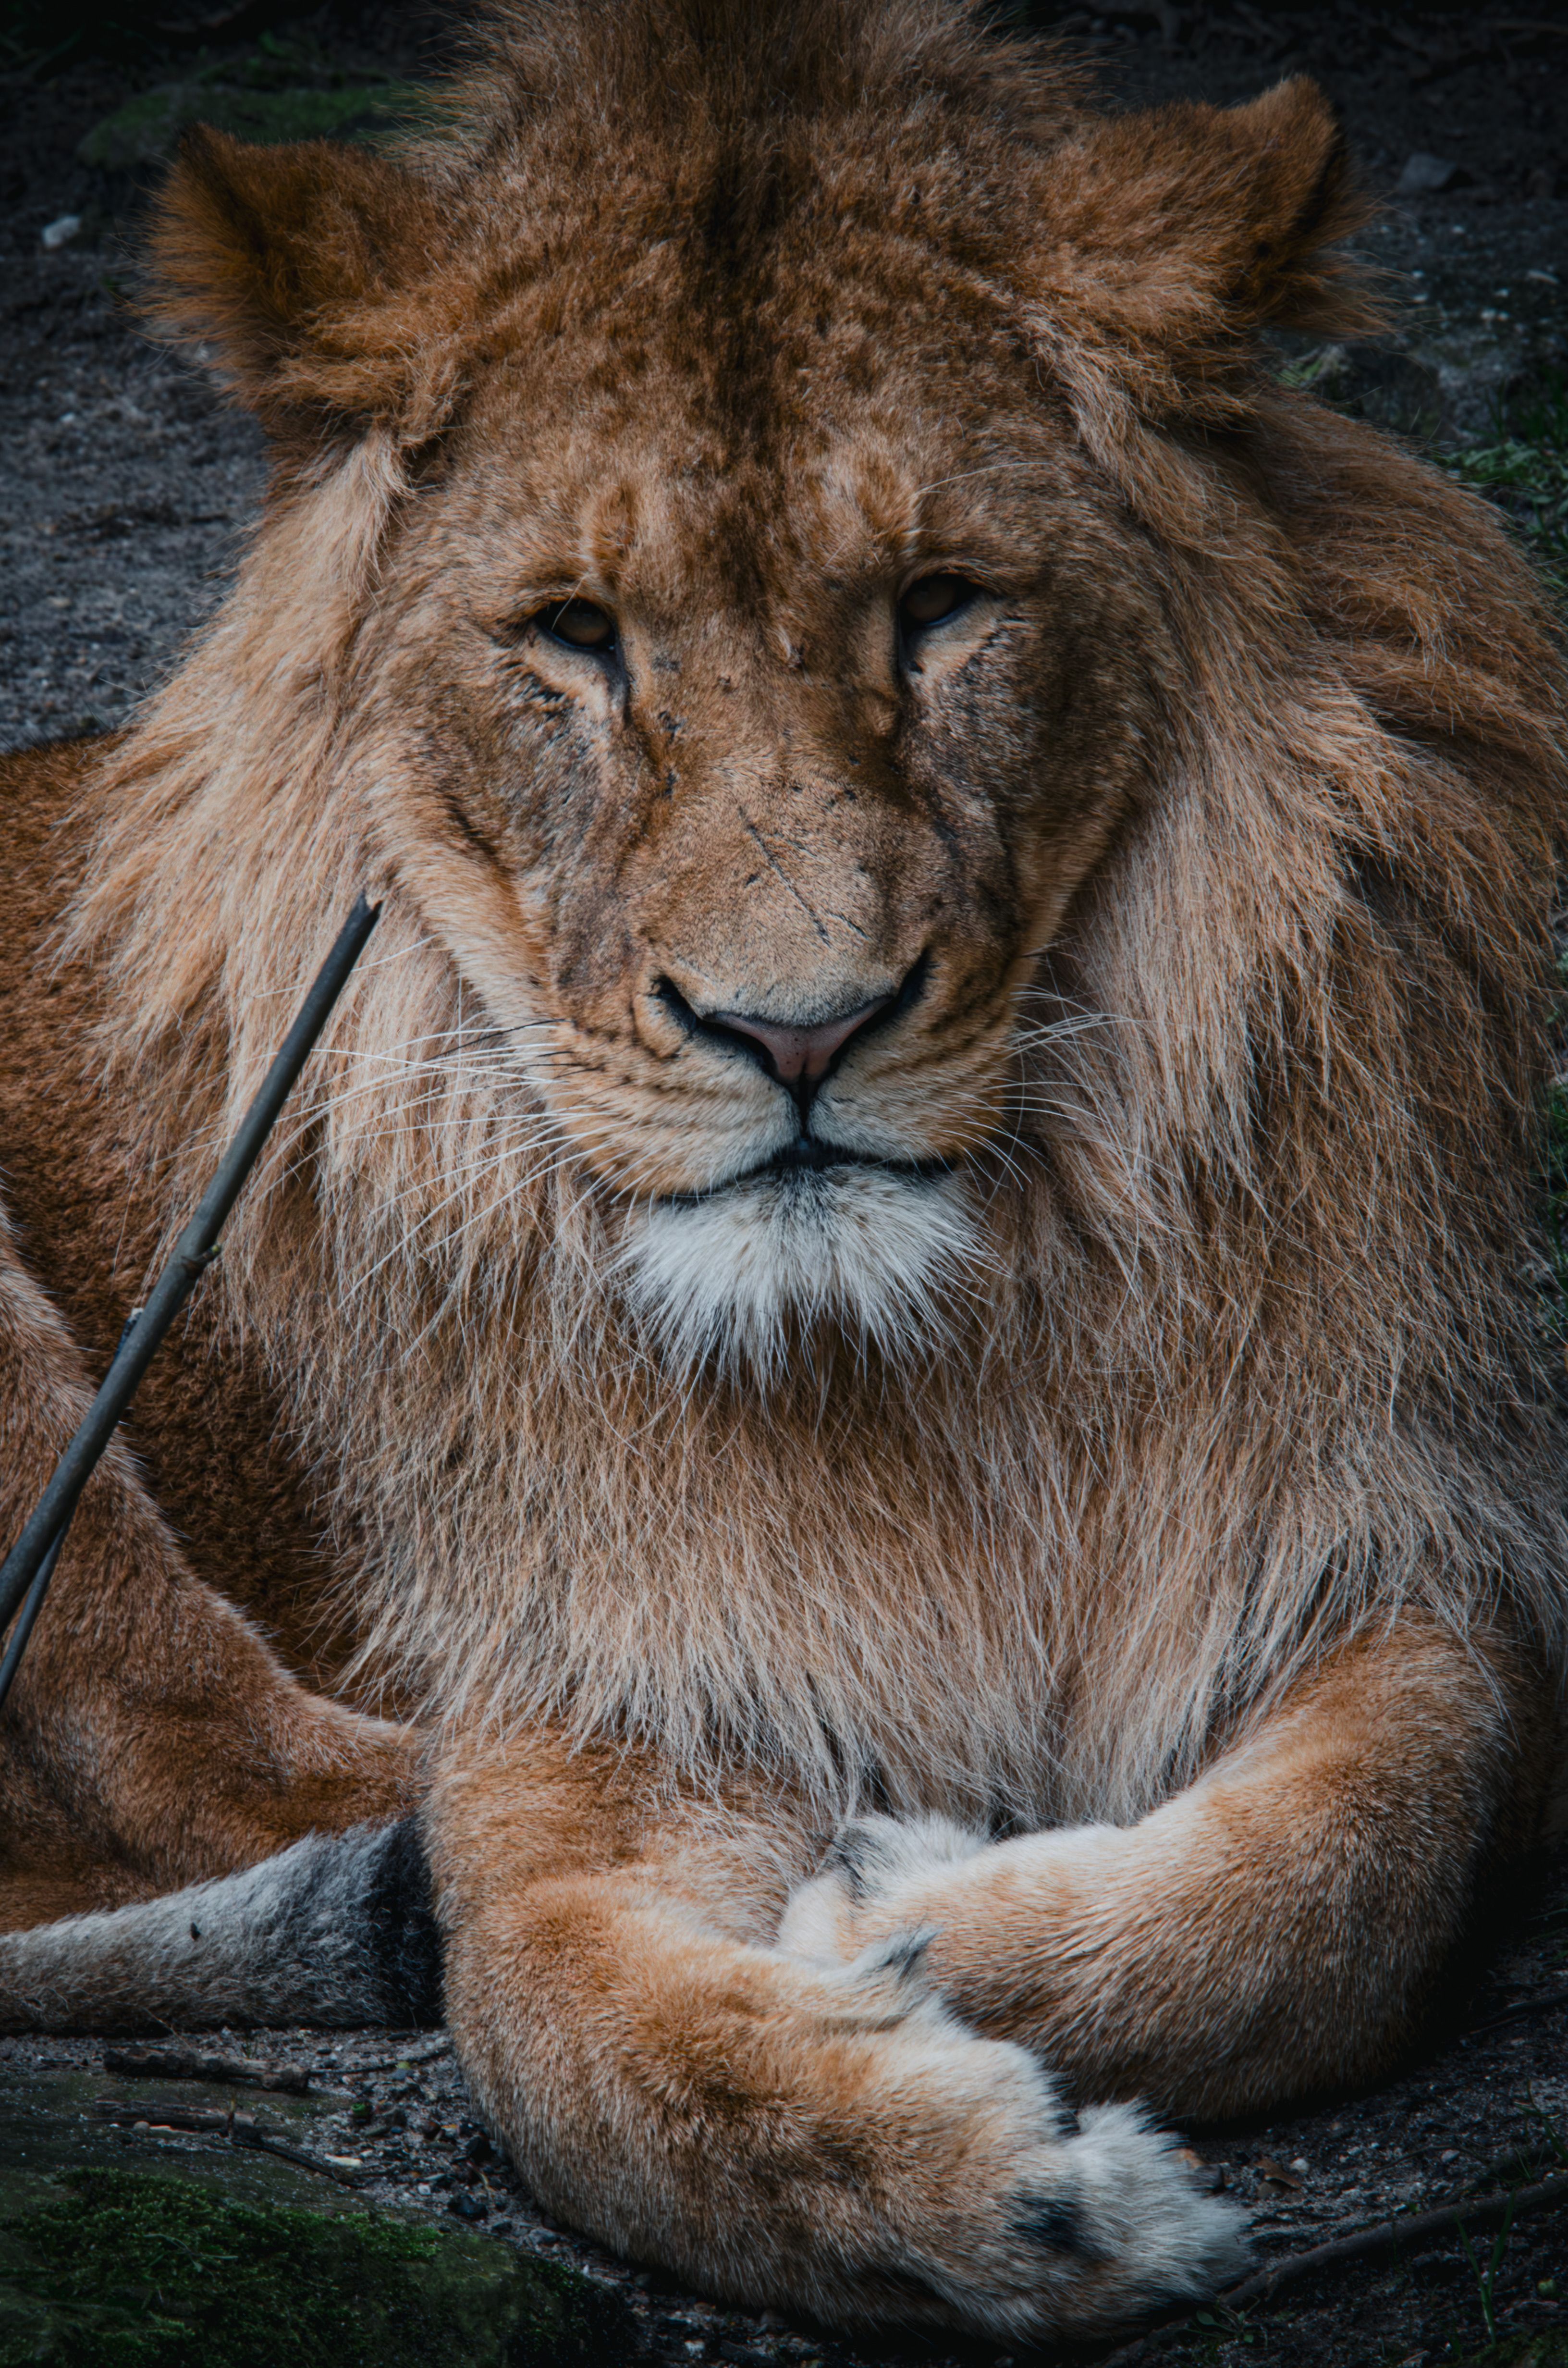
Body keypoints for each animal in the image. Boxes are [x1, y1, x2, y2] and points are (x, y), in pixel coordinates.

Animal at [1, 0, 1564, 2341]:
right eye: (574, 635)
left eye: (940, 608)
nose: (799, 1029)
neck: (926, 1339)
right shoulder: (591, 1678)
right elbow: (569, 2029)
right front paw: (993, 2188)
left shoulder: (1379, 1525)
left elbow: (1356, 1866)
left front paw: (901, 1921)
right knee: (212, 1756)